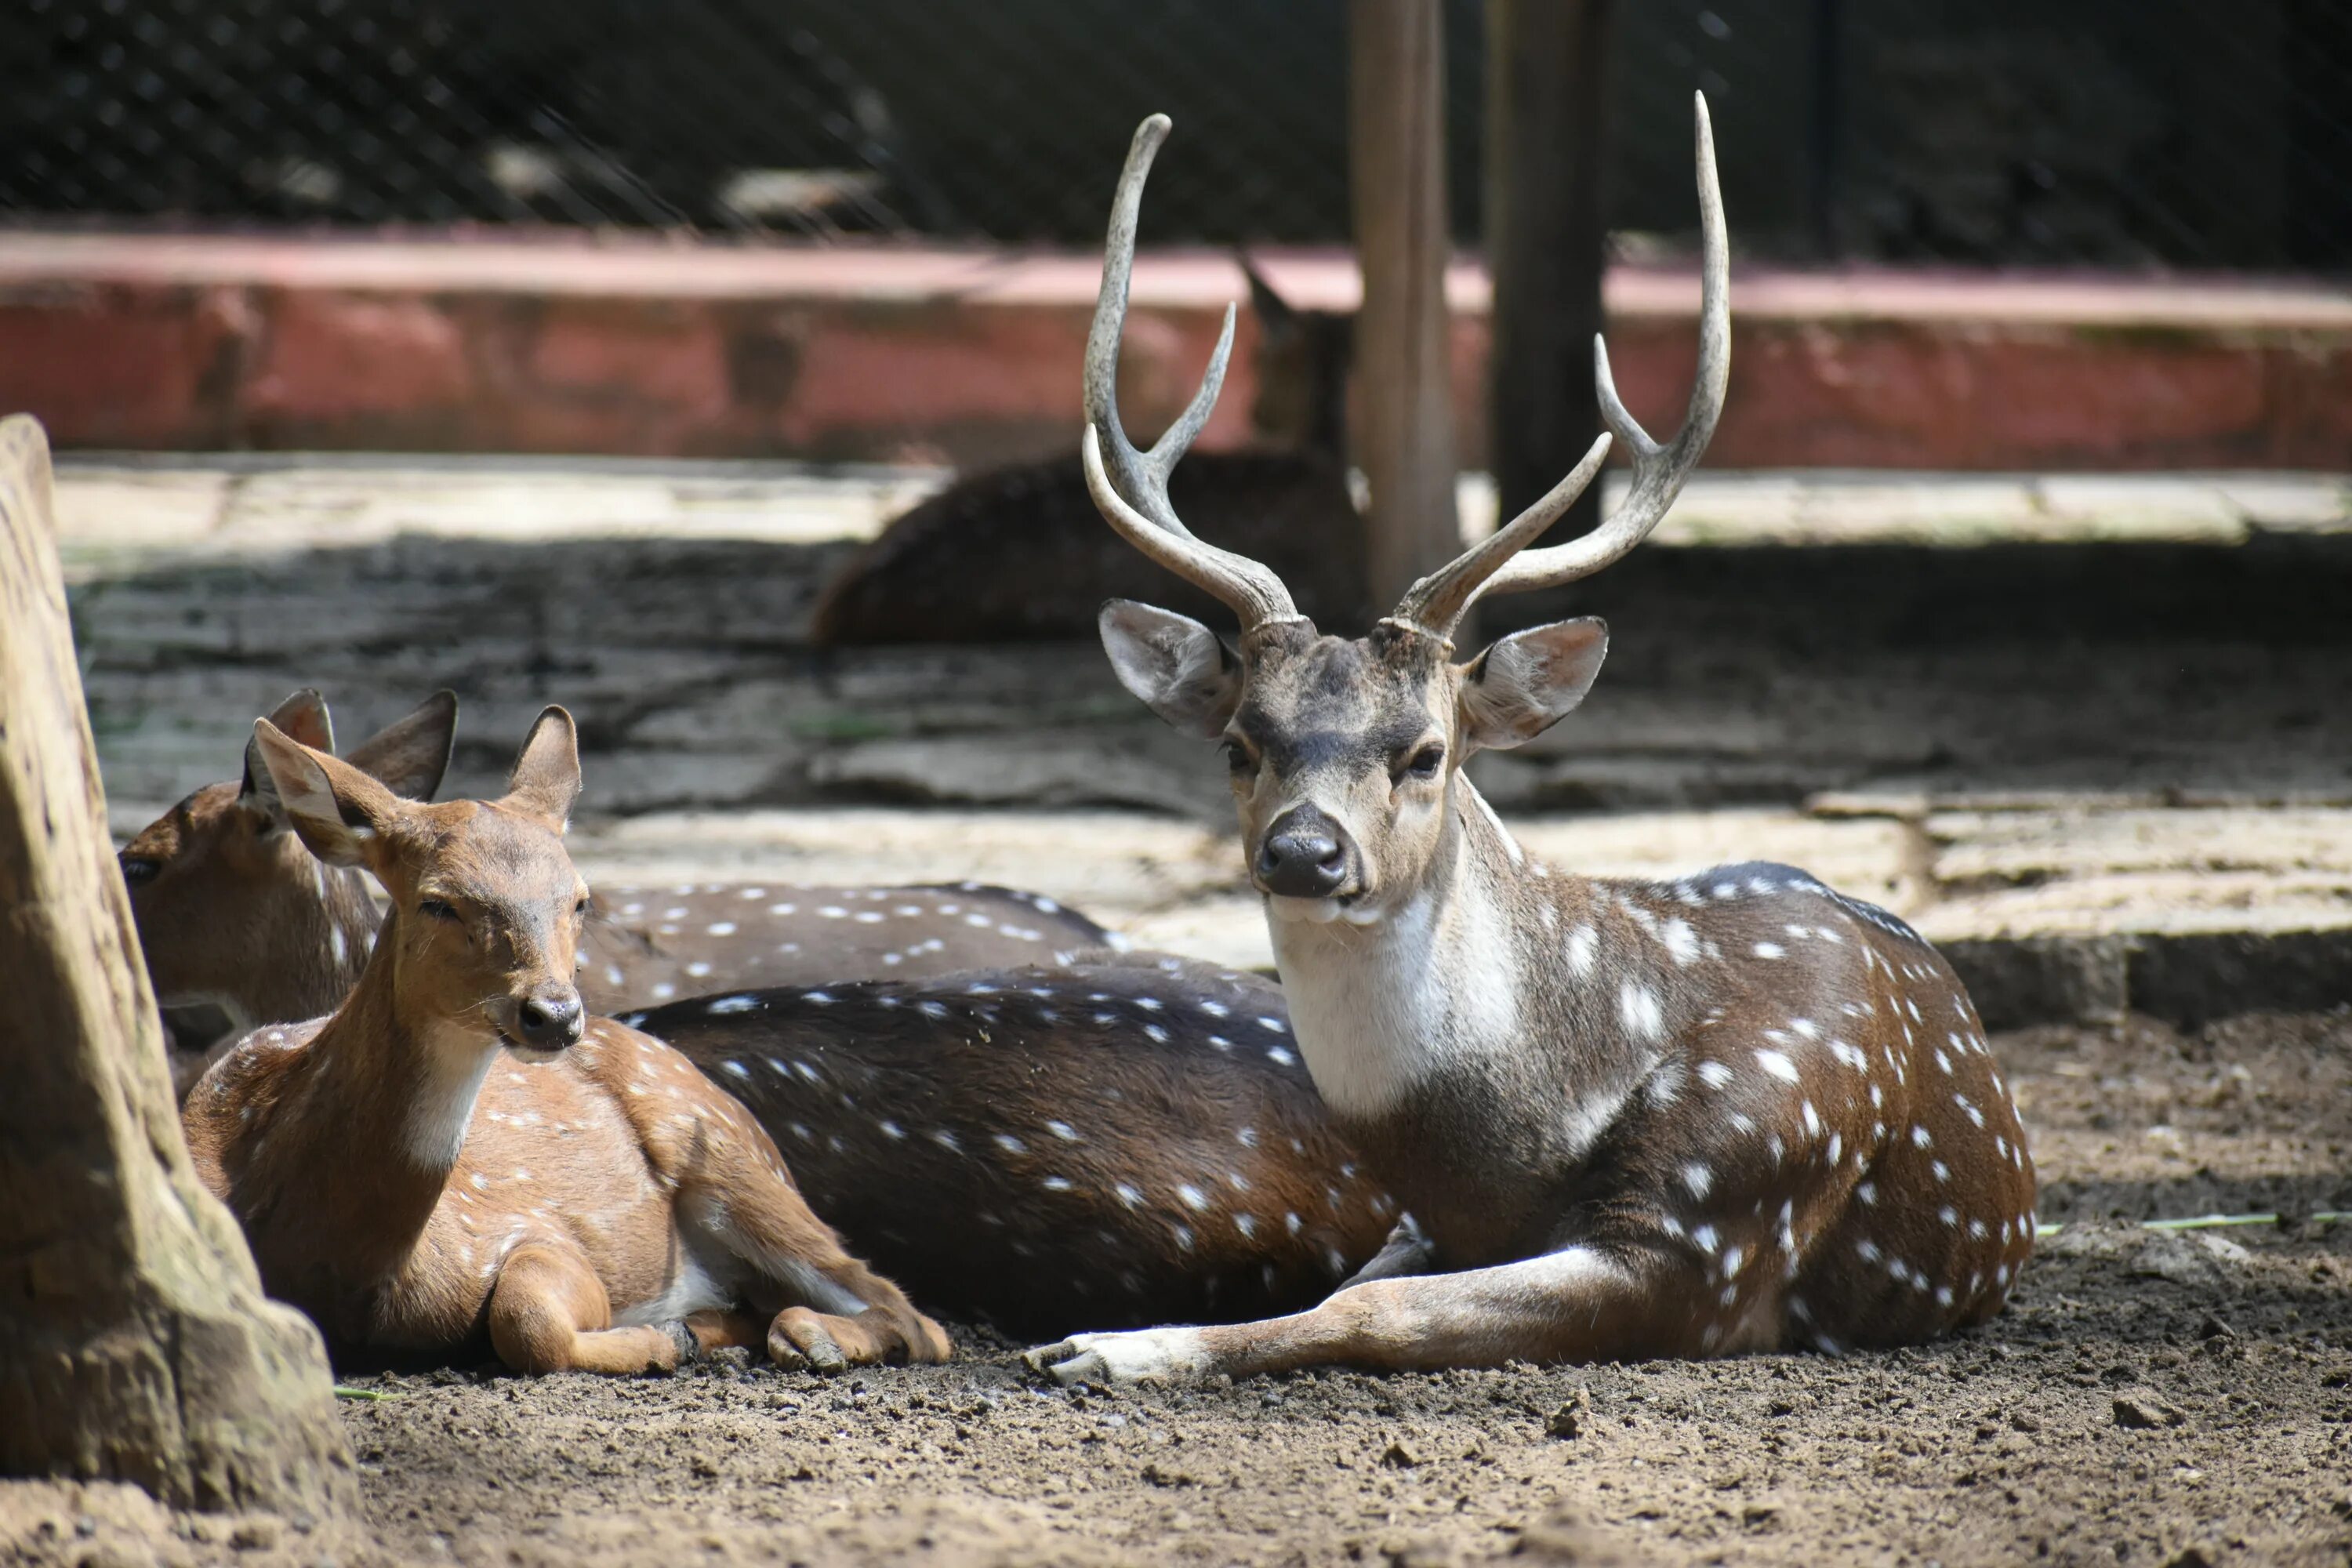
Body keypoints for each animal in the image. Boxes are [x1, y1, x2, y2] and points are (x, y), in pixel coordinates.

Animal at [183, 710, 950, 1373]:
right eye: (437, 901)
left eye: (579, 898)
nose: (552, 1014)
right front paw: (671, 1336)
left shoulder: (536, 1232)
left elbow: (526, 1320)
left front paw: (659, 1341)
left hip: (733, 1162)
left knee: (915, 1317)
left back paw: (804, 1337)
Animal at [1030, 98, 2042, 1382]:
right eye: (1241, 744)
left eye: (1427, 751)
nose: (1304, 853)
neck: (1506, 1153)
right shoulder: (1431, 1219)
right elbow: (1347, 1278)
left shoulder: (1707, 1232)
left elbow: (1369, 1310)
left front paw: (1114, 1346)